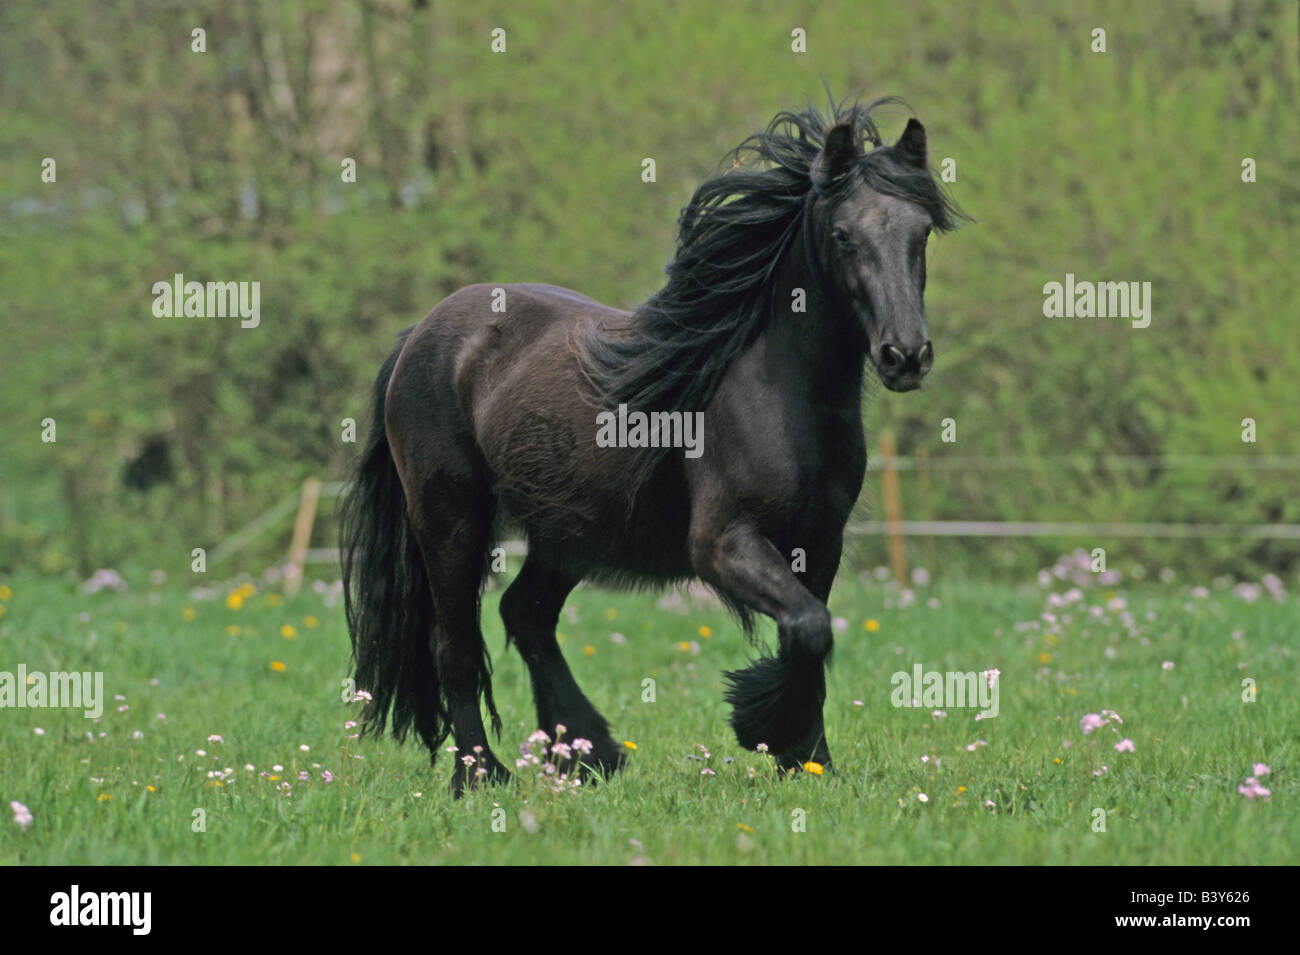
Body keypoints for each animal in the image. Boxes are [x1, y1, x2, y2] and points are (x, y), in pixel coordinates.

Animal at [340, 95, 965, 795]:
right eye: (842, 236)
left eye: (921, 234)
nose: (905, 356)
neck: (780, 393)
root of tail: (420, 333)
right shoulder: (723, 544)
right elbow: (808, 629)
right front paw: (767, 727)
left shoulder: (818, 544)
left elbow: (811, 635)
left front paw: (807, 758)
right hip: (451, 521)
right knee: (456, 644)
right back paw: (481, 776)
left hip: (567, 532)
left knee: (526, 615)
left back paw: (588, 753)